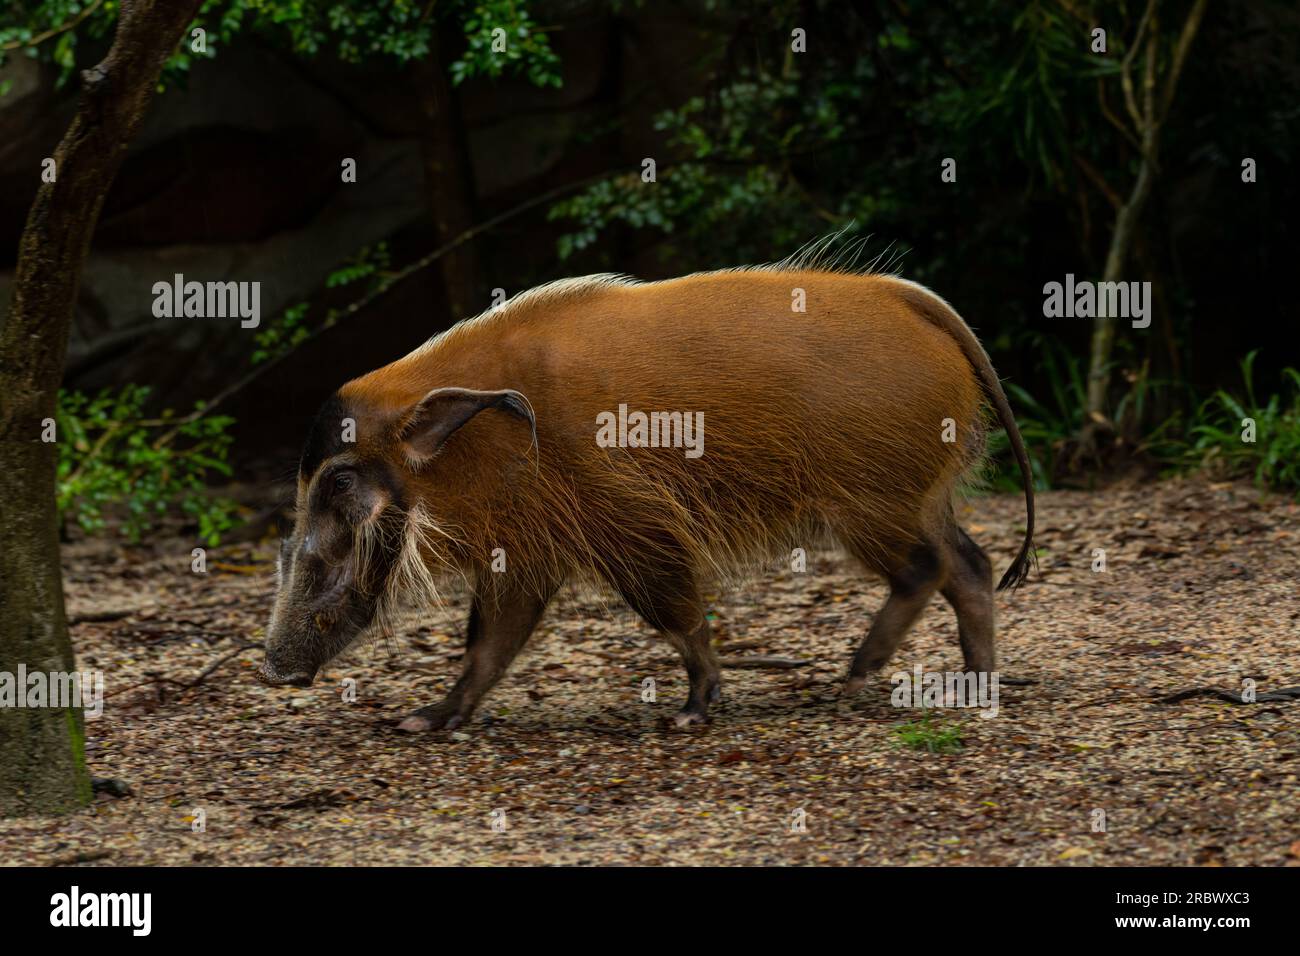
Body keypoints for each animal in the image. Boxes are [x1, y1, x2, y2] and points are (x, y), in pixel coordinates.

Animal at [257, 261, 1034, 730]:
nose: (273, 669)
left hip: (867, 501)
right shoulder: (528, 551)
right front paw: (428, 719)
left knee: (927, 567)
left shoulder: (627, 524)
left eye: (341, 479)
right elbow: (489, 643)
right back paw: (973, 686)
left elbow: (674, 612)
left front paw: (694, 708)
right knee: (971, 565)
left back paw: (856, 674)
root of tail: (917, 301)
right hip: (915, 496)